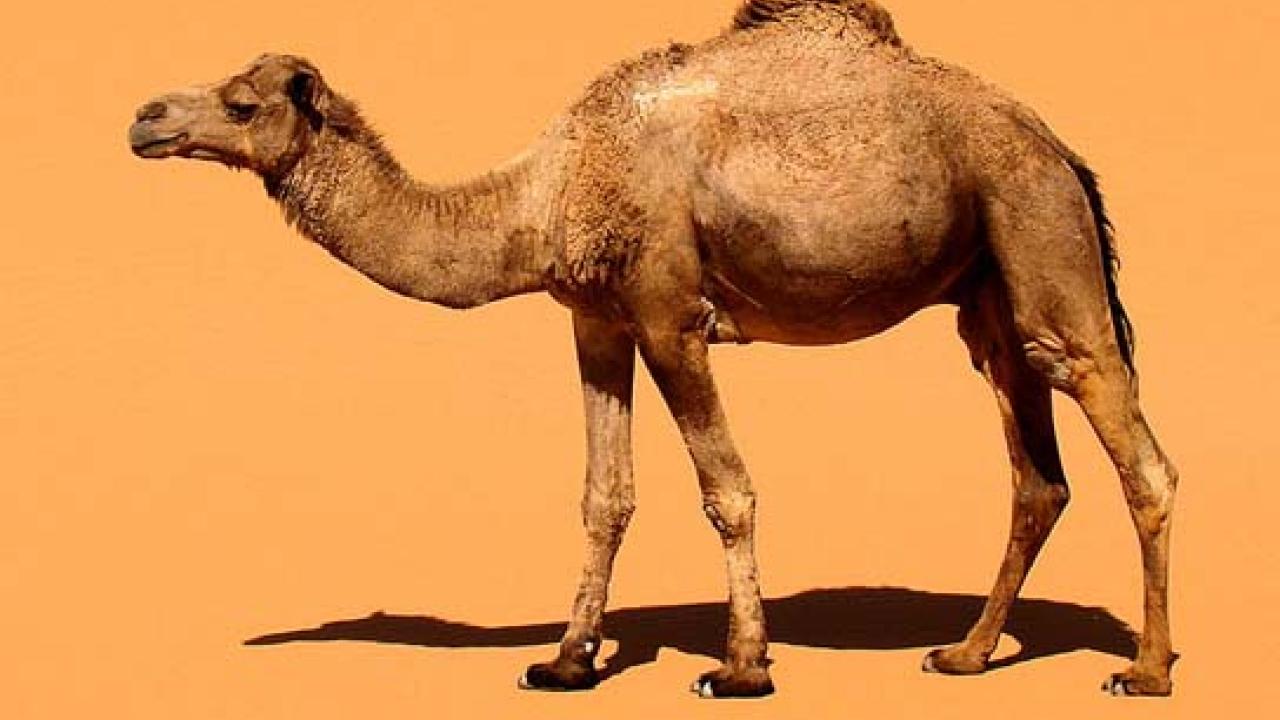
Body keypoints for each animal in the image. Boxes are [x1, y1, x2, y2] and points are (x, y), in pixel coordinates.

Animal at [128, 0, 1179, 699]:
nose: (145, 117)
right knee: (1037, 474)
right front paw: (565, 660)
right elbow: (605, 496)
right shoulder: (596, 318)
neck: (544, 193)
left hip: (1042, 237)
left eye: (240, 103)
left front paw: (741, 666)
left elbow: (726, 489)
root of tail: (1061, 148)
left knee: (1135, 447)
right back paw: (964, 654)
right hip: (990, 296)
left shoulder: (672, 313)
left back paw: (1145, 670)